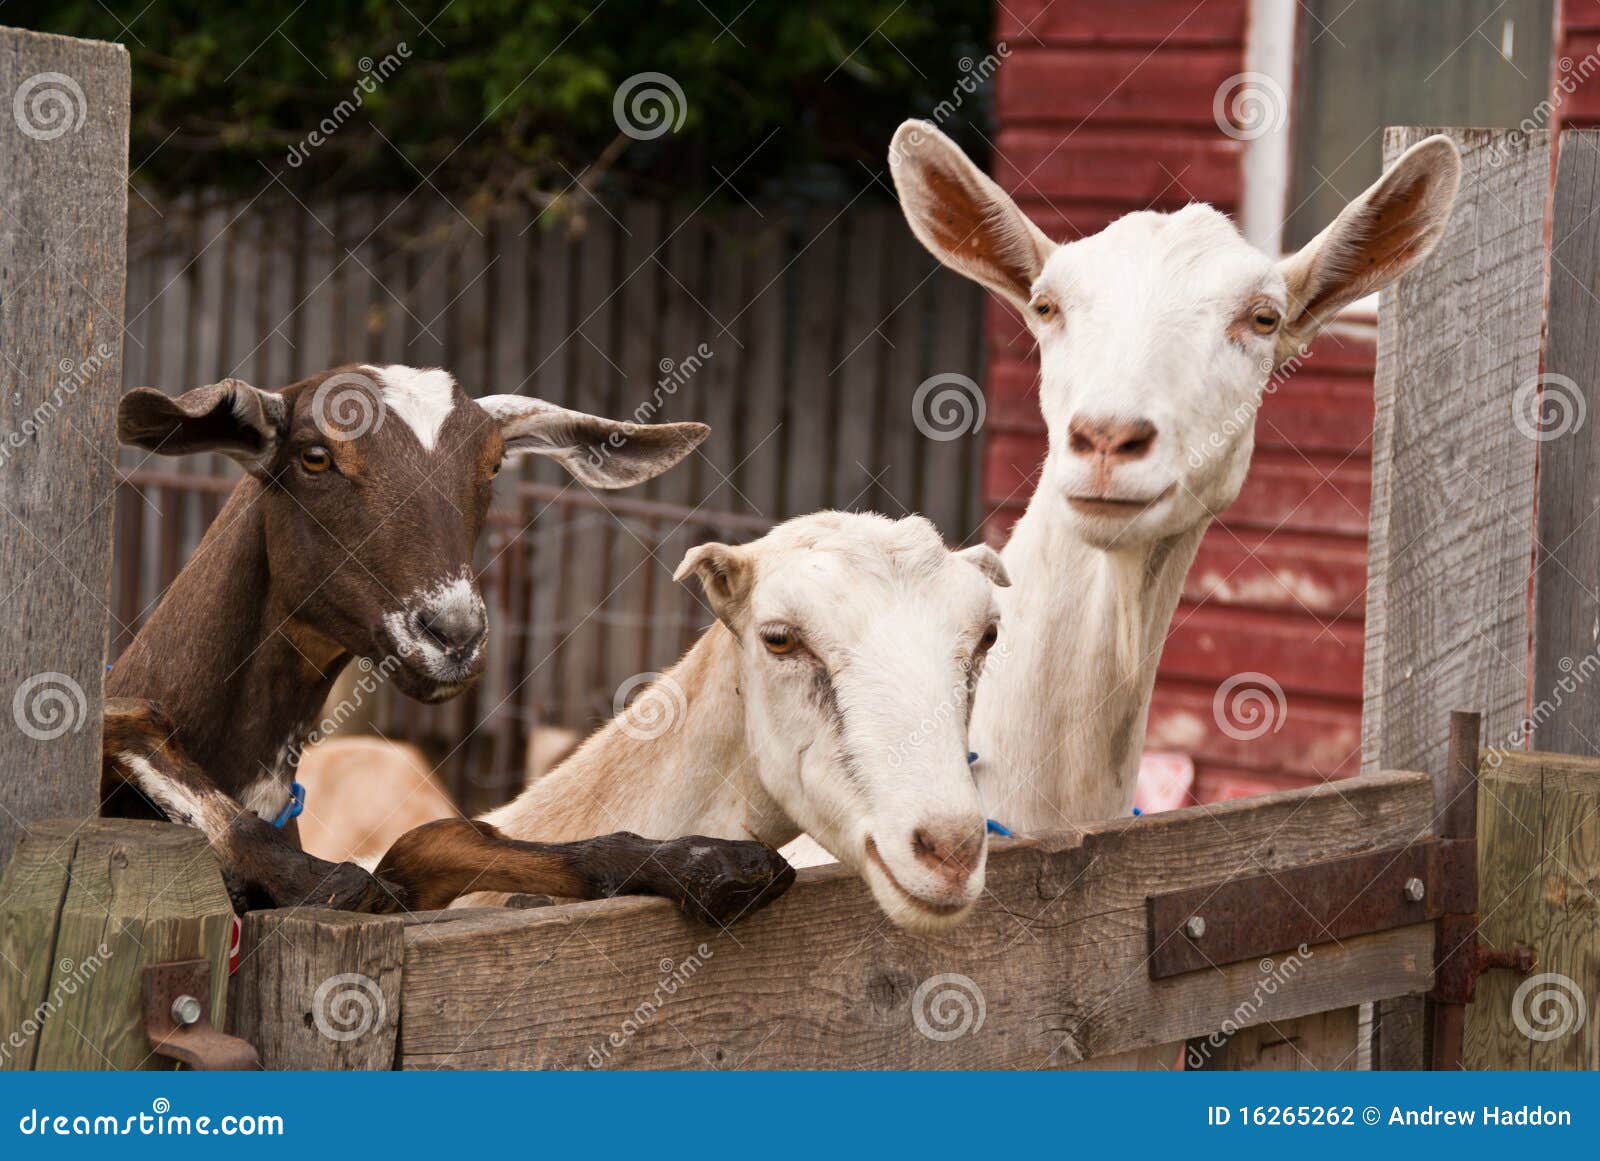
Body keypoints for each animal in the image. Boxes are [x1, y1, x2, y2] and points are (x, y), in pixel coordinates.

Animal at [105, 364, 793, 923]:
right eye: (315, 456)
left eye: (492, 465)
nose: (453, 633)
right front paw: (313, 877)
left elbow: (434, 844)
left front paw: (712, 864)